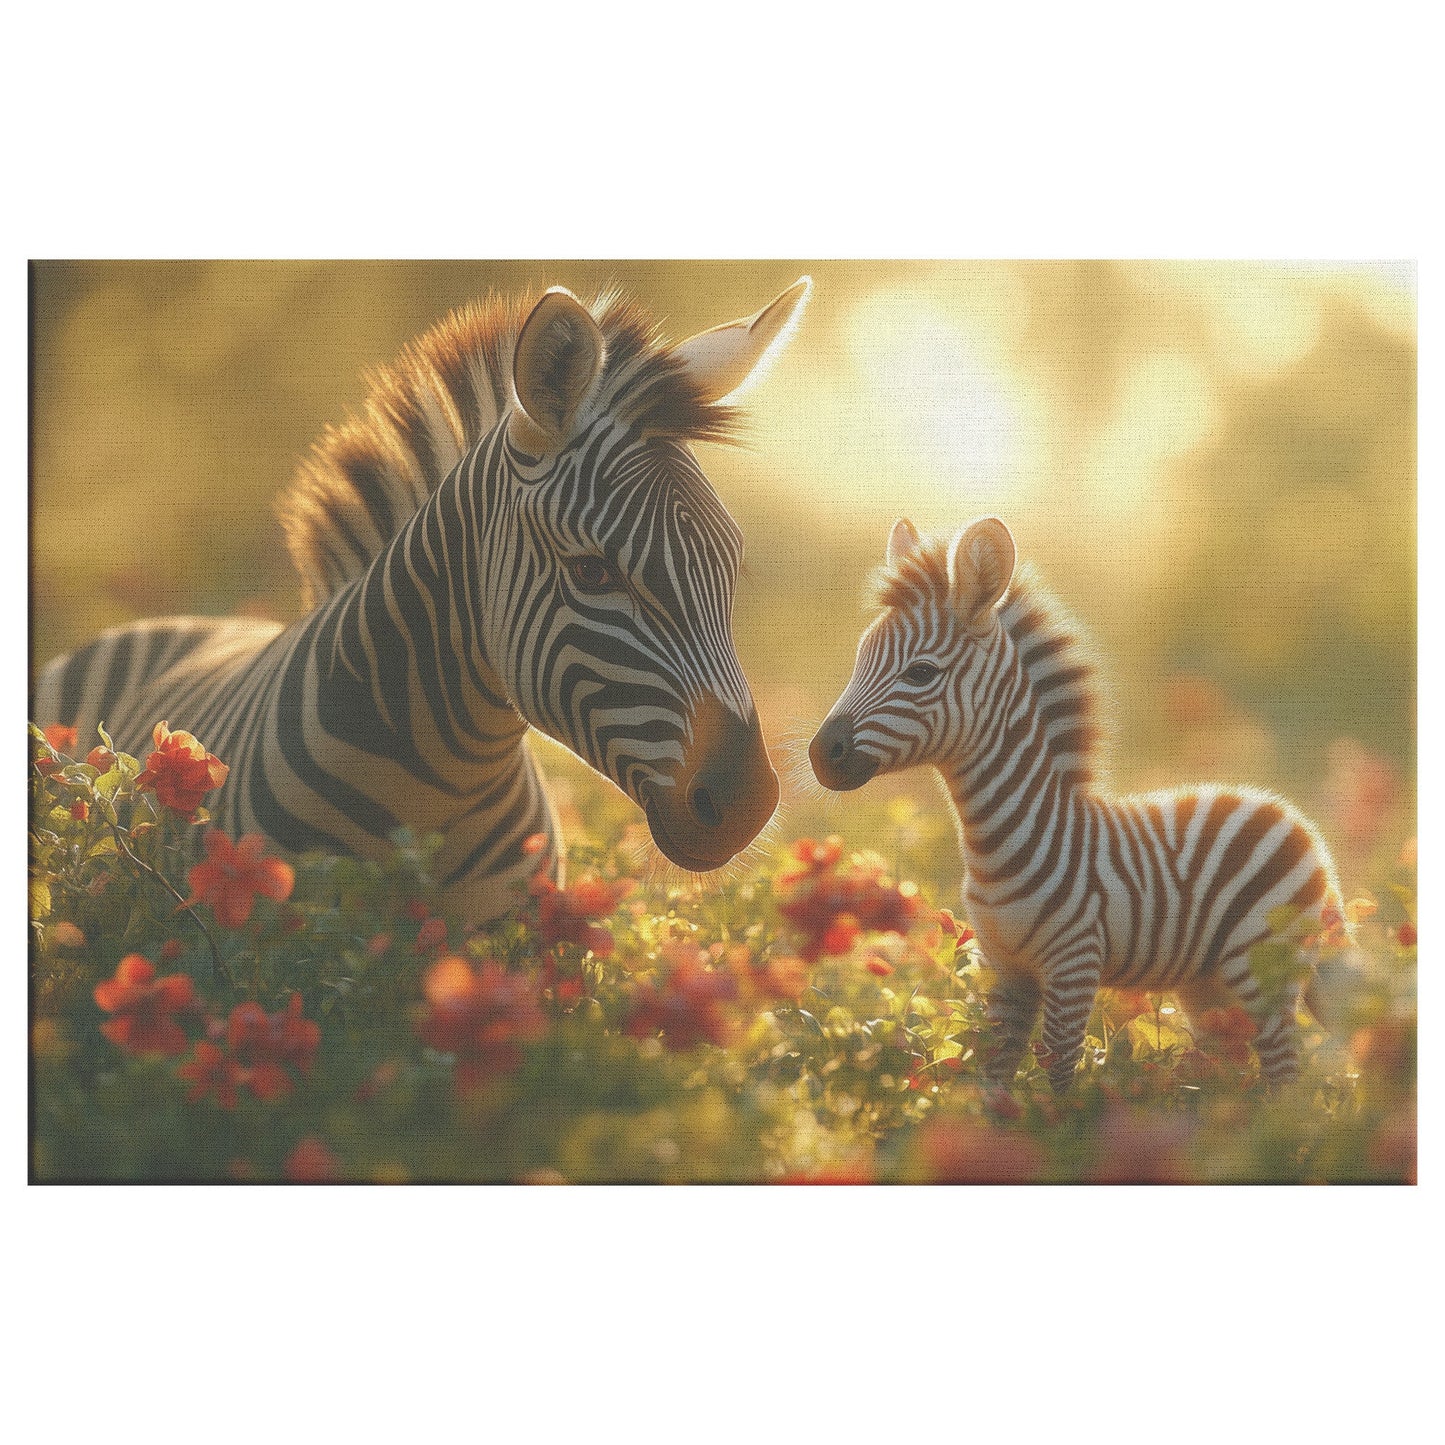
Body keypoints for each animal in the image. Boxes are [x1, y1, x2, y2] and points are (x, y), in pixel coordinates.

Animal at [809, 514, 1347, 1090]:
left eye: (920, 673)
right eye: (859, 660)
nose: (821, 755)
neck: (1003, 841)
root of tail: (1296, 821)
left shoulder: (1074, 966)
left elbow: (1059, 1079)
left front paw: (1064, 1114)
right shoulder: (1006, 969)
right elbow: (993, 1078)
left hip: (1265, 970)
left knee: (1286, 1077)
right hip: (1206, 983)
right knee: (1231, 1076)